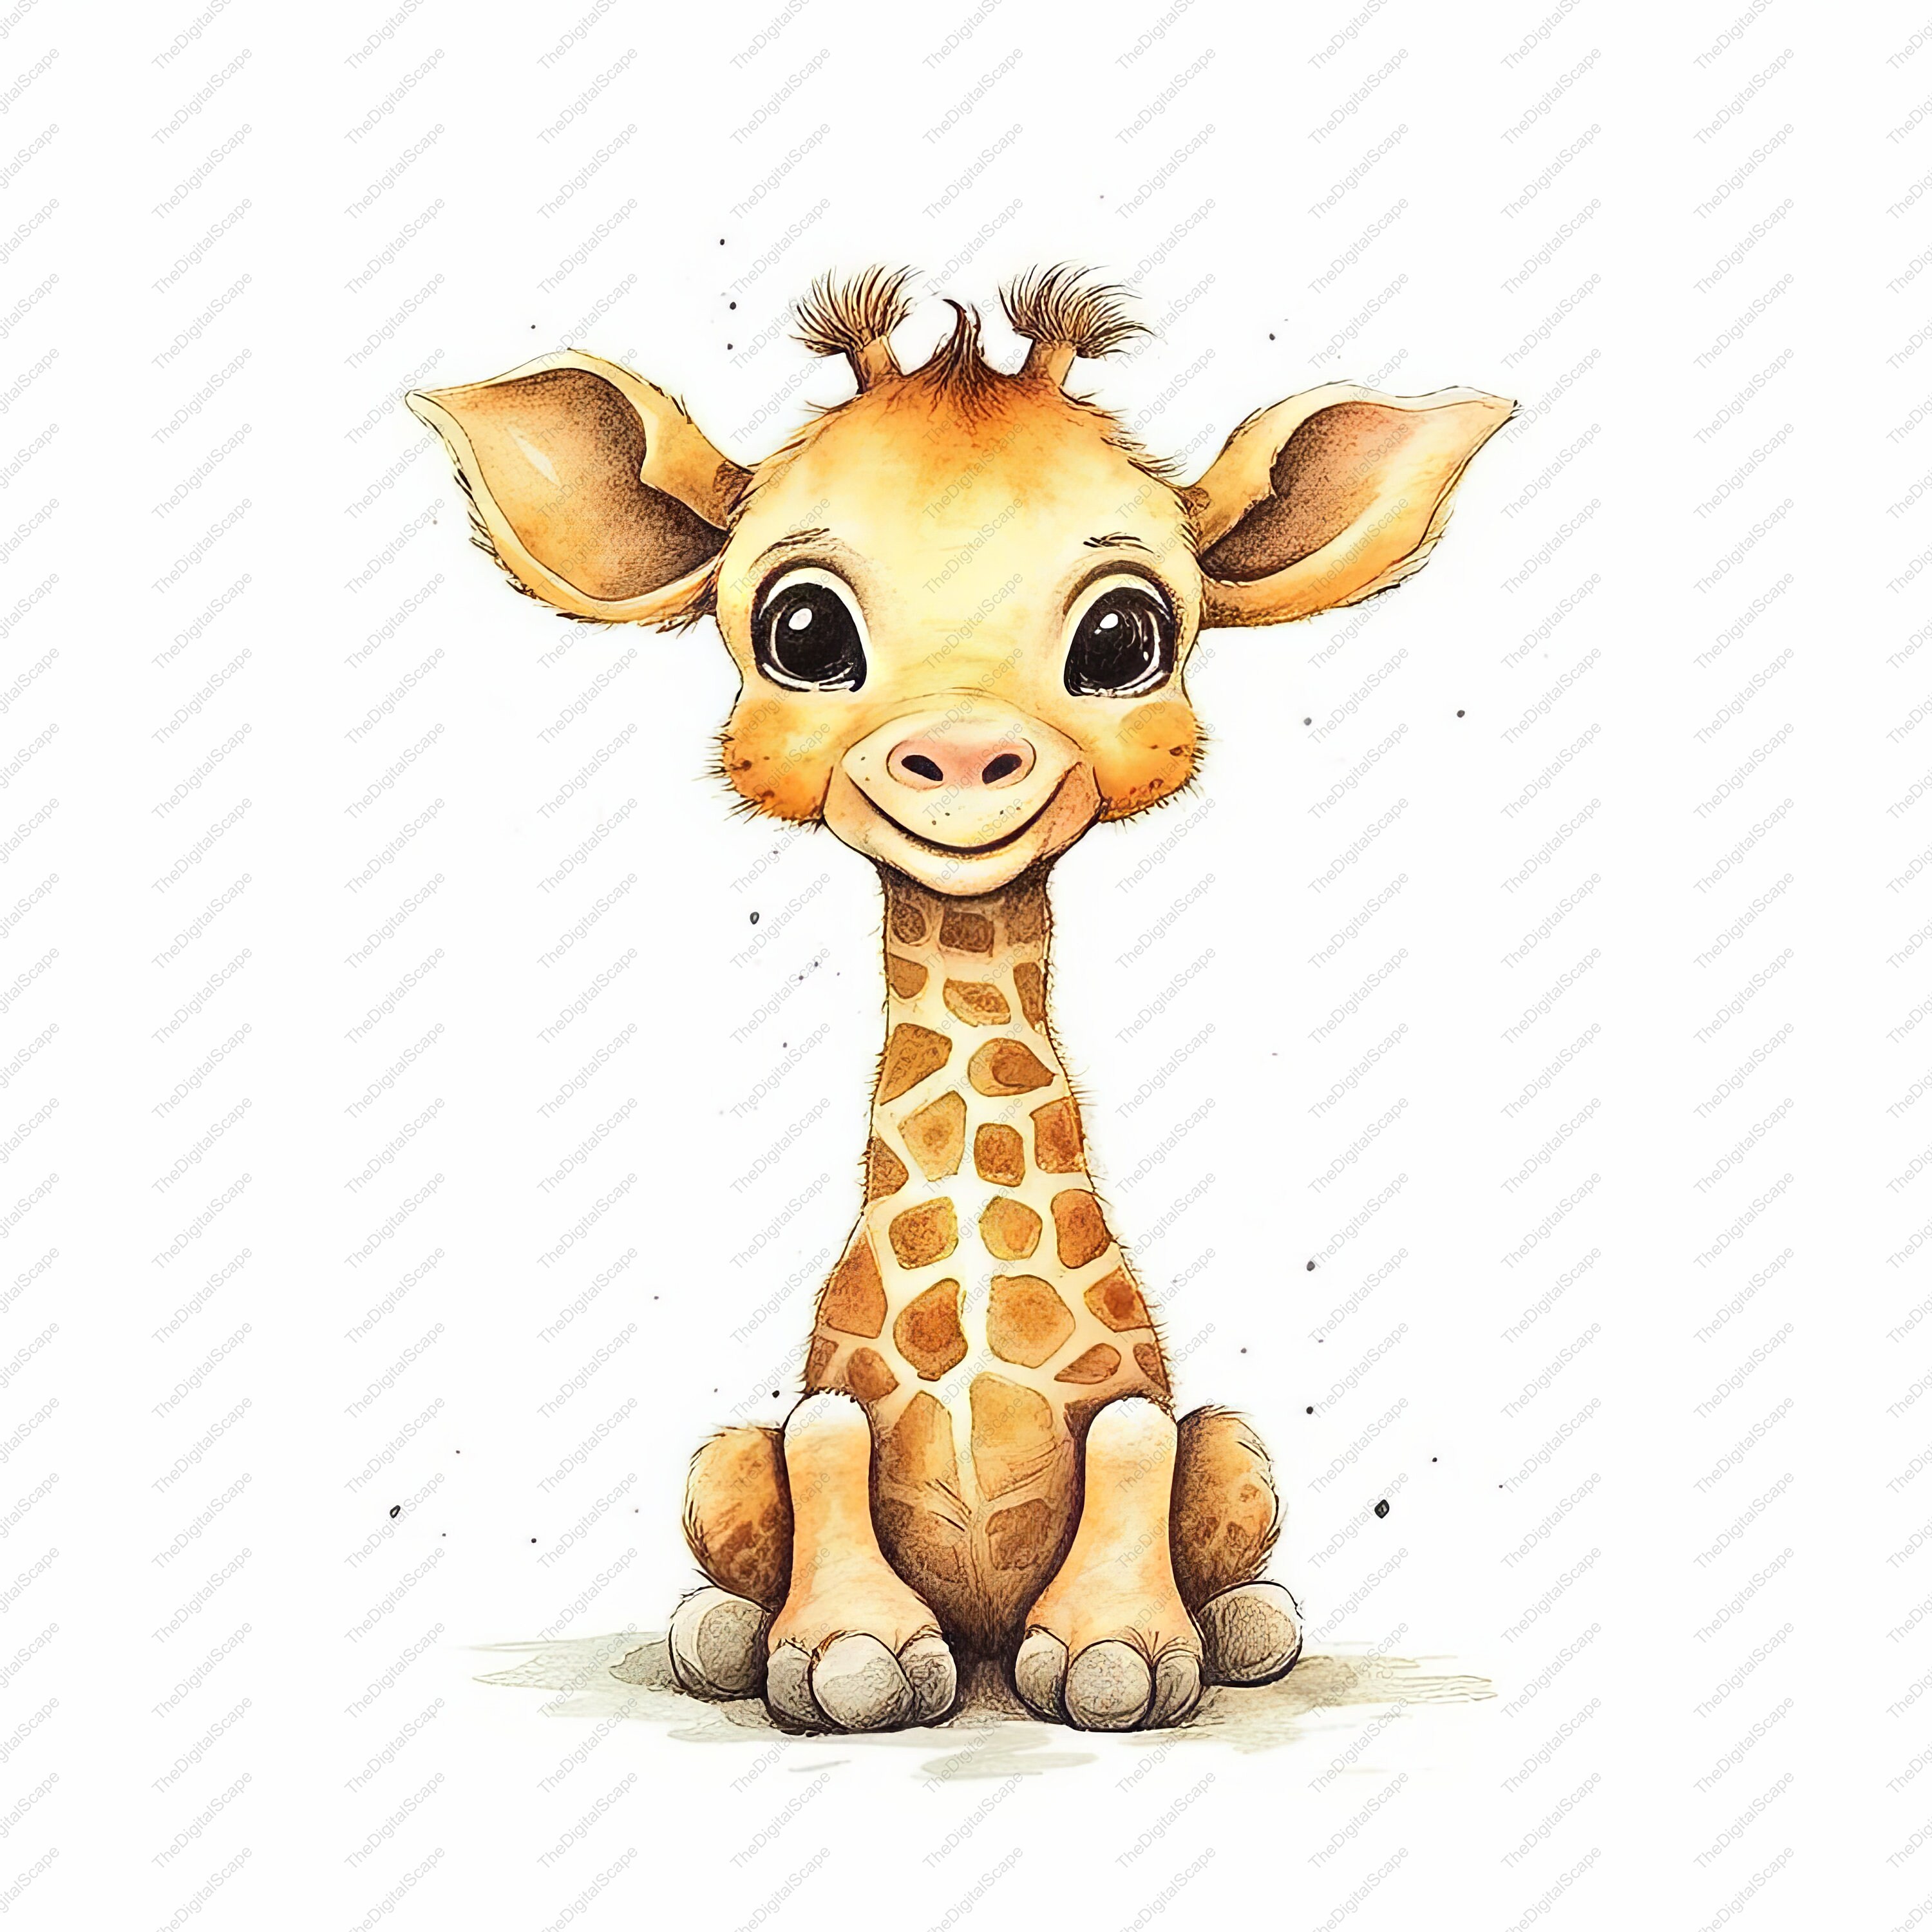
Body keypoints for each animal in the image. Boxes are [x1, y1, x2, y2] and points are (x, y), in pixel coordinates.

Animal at [408, 265, 1510, 1734]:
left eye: (1125, 636)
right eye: (803, 628)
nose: (966, 758)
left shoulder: (1153, 1433)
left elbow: (1135, 1436)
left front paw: (1120, 1654)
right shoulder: (807, 1429)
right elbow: (823, 1433)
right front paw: (844, 1657)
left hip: (1243, 1449)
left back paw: (1247, 1629)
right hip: (713, 1461)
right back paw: (717, 1638)